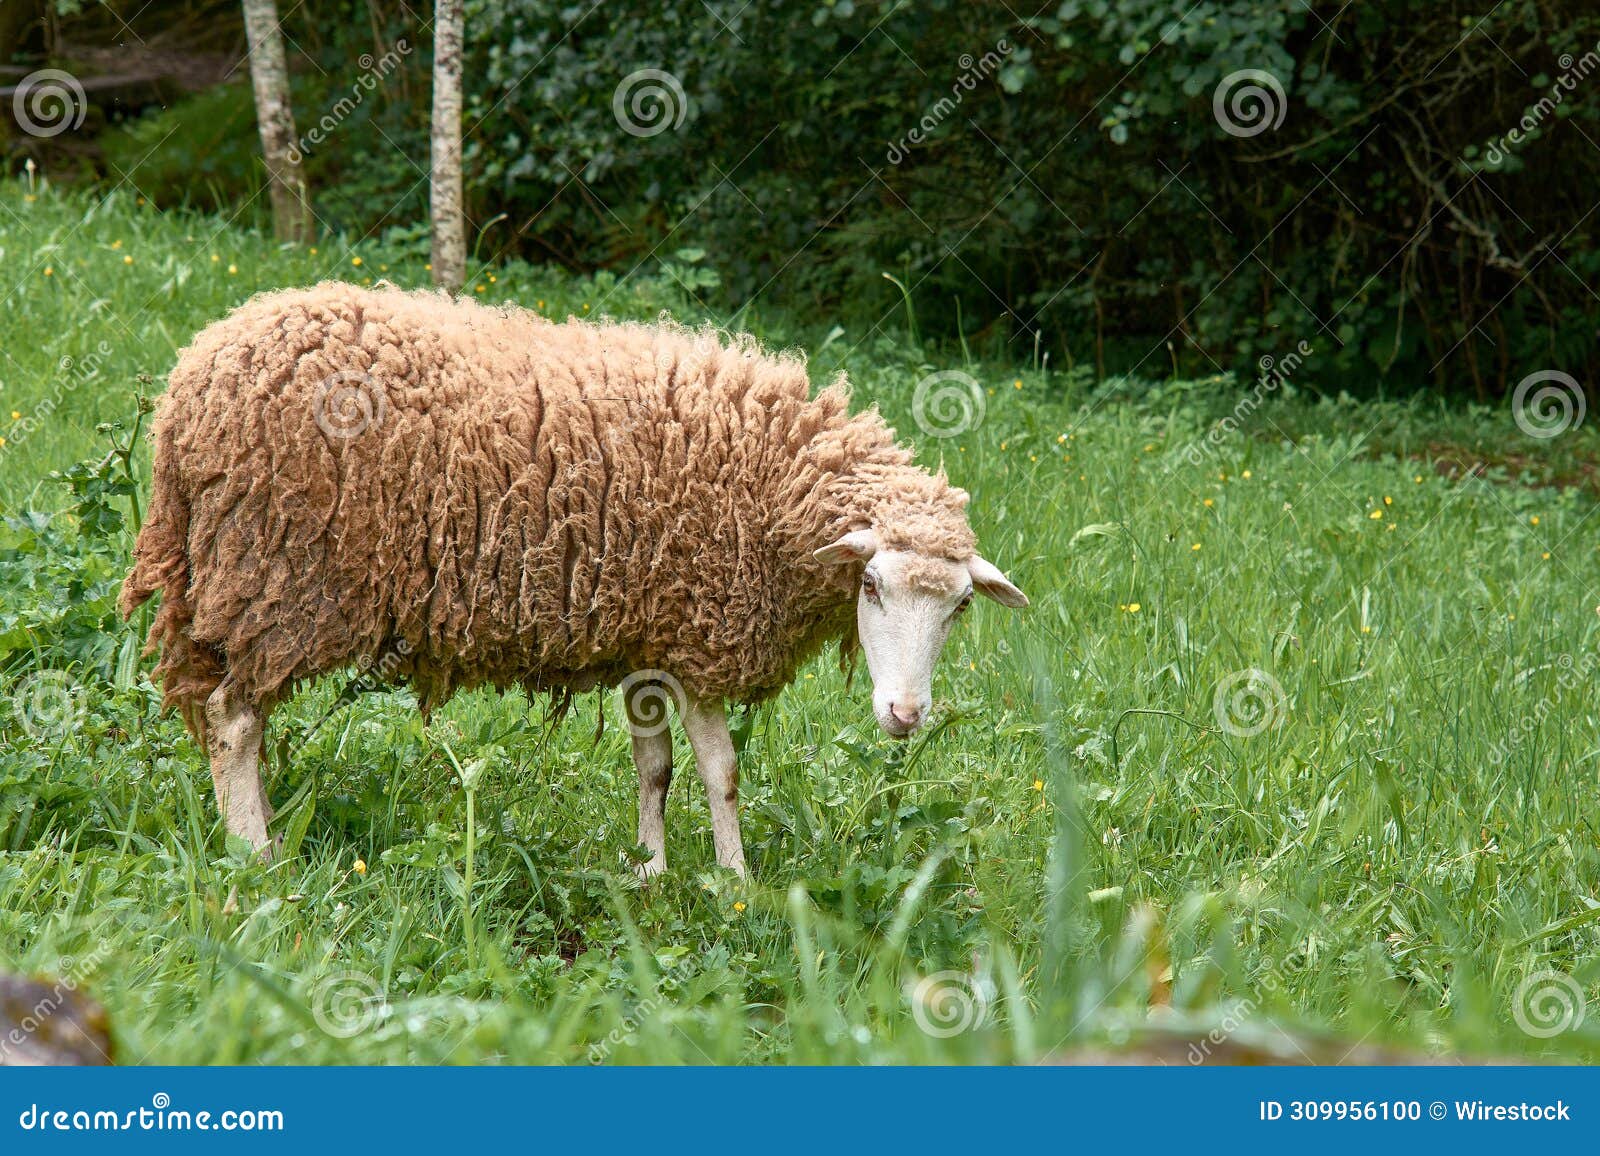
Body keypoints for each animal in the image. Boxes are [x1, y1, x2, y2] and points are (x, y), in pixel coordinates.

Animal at [120, 282, 1028, 877]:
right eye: (871, 586)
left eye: (958, 609)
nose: (905, 717)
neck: (771, 482)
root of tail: (194, 380)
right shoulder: (695, 633)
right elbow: (722, 772)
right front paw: (736, 885)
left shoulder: (650, 633)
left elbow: (655, 765)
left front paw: (649, 871)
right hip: (282, 575)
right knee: (234, 721)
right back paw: (255, 855)